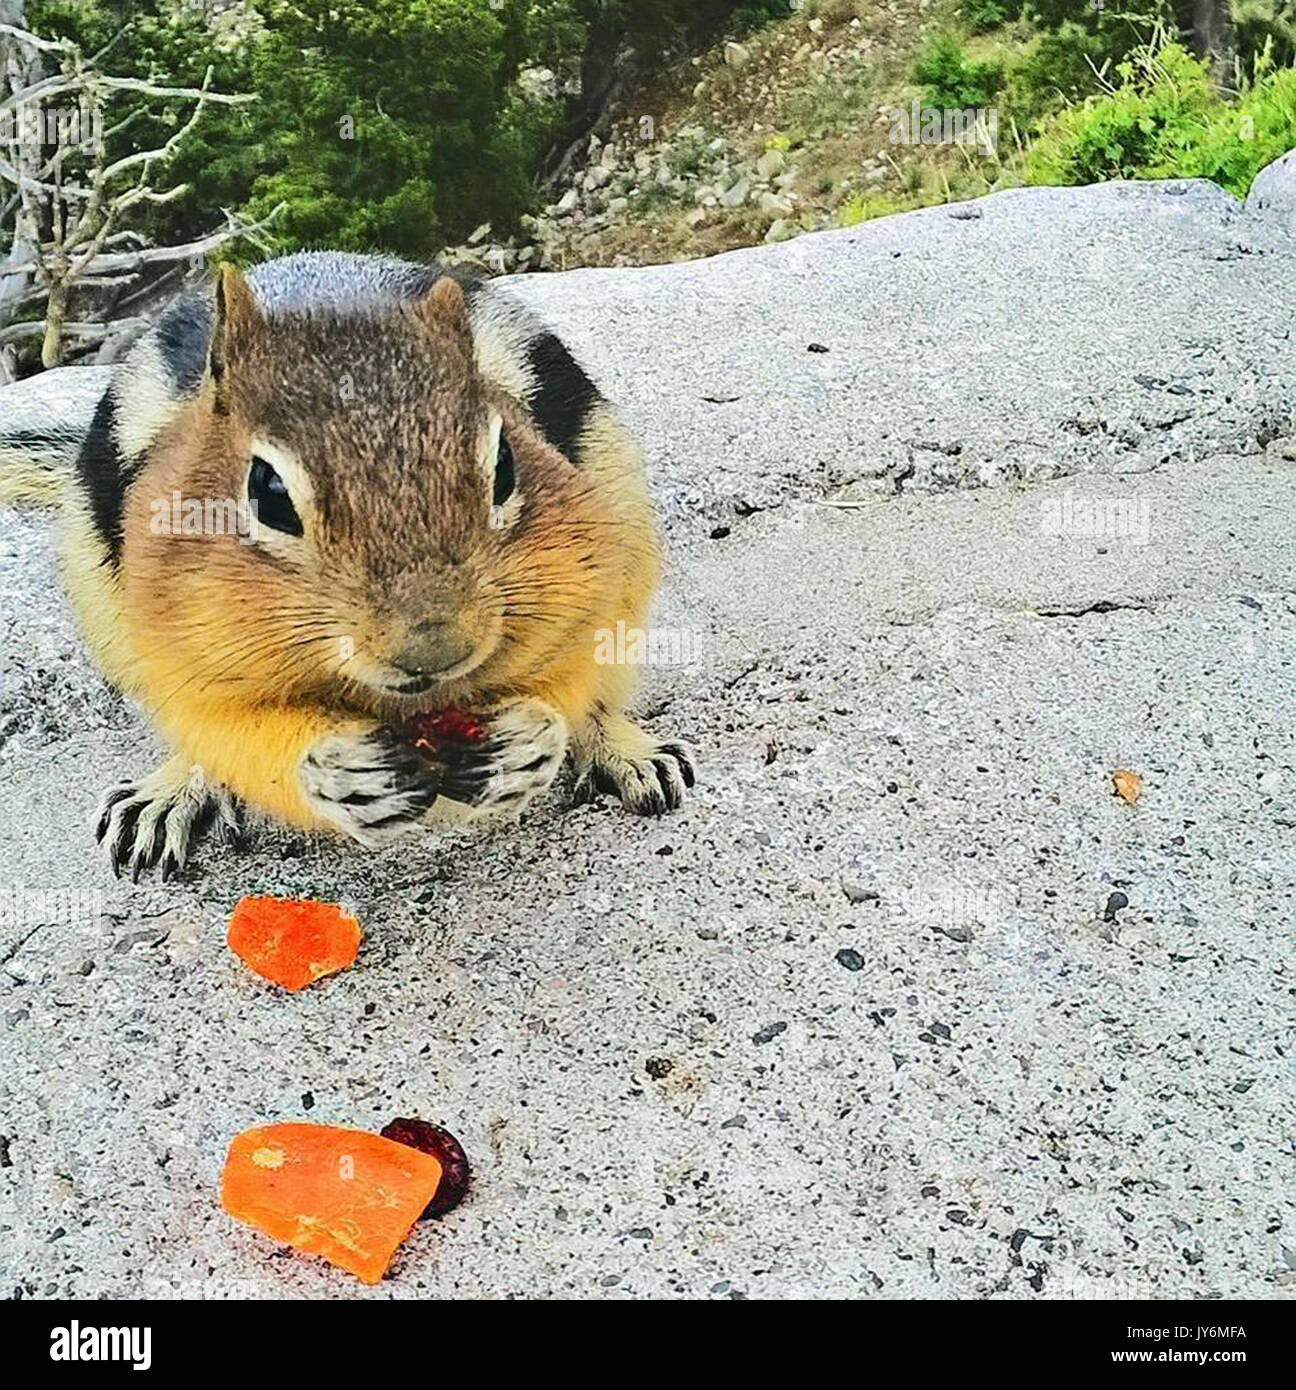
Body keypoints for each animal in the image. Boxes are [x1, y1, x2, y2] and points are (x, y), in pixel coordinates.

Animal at [0, 252, 693, 879]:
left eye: (504, 467)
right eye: (268, 493)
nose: (434, 647)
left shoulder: (583, 579)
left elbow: (571, 677)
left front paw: (530, 738)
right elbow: (231, 735)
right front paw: (332, 769)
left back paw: (627, 753)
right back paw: (171, 795)